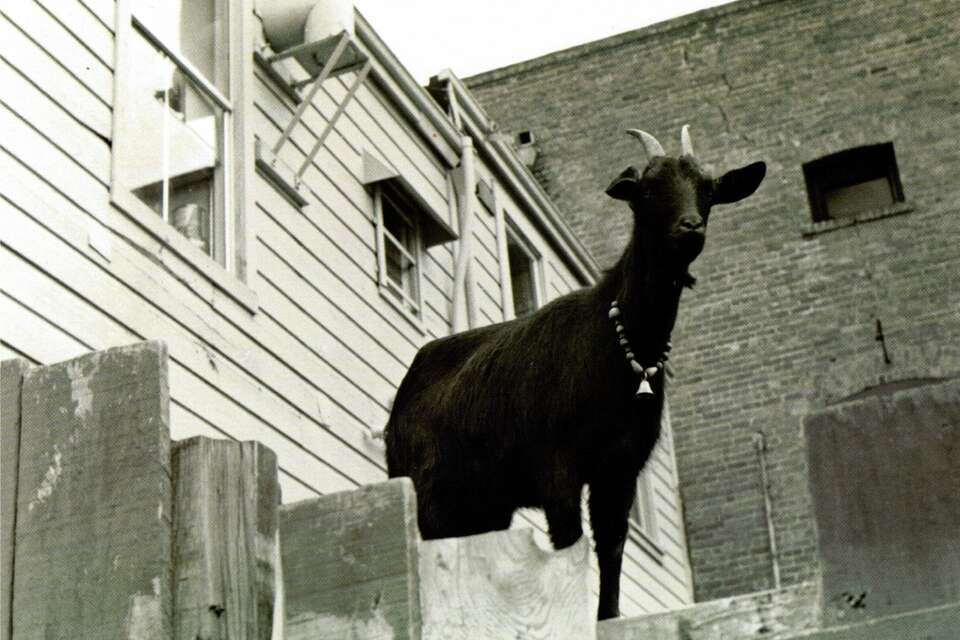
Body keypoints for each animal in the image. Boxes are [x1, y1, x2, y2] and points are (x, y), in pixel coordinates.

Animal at [385, 126, 766, 620]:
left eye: (709, 190)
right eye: (646, 189)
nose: (690, 228)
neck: (622, 346)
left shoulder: (620, 468)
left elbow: (611, 546)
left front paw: (608, 617)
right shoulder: (558, 466)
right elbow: (570, 545)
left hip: (484, 503)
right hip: (425, 489)